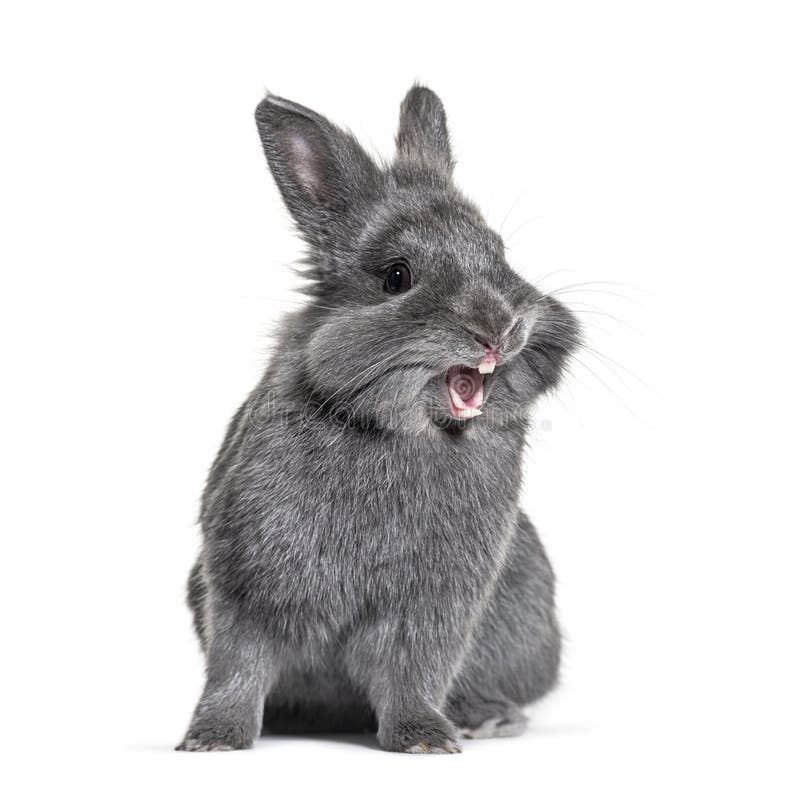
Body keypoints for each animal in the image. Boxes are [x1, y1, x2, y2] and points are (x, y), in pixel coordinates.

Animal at [176, 84, 581, 754]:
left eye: (498, 254)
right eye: (397, 276)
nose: (498, 330)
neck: (399, 433)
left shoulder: (436, 605)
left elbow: (415, 672)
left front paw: (425, 738)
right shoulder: (244, 581)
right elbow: (238, 667)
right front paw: (212, 739)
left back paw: (487, 717)